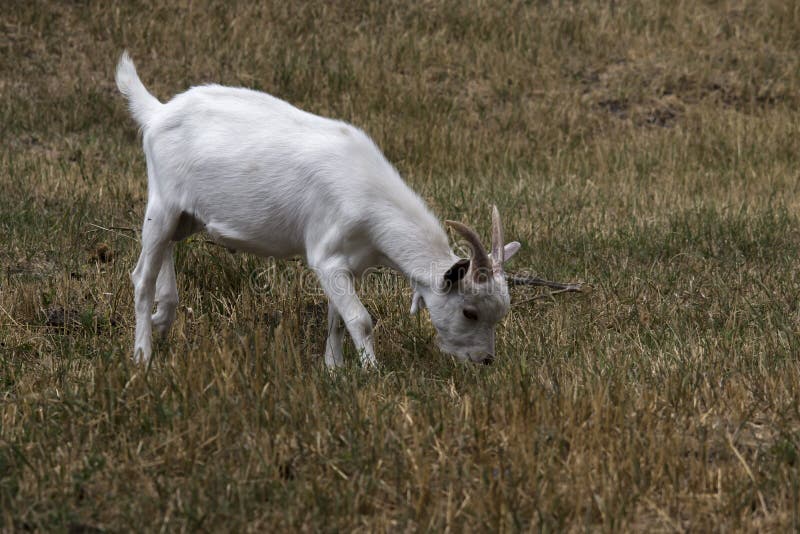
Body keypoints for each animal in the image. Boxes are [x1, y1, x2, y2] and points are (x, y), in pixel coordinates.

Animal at [115, 51, 522, 367]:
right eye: (469, 311)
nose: (485, 360)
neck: (368, 195)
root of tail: (156, 113)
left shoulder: (350, 265)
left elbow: (337, 319)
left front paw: (333, 368)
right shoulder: (326, 256)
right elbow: (360, 319)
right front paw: (372, 373)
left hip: (186, 215)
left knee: (166, 249)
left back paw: (163, 317)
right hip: (163, 201)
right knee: (141, 275)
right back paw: (142, 353)